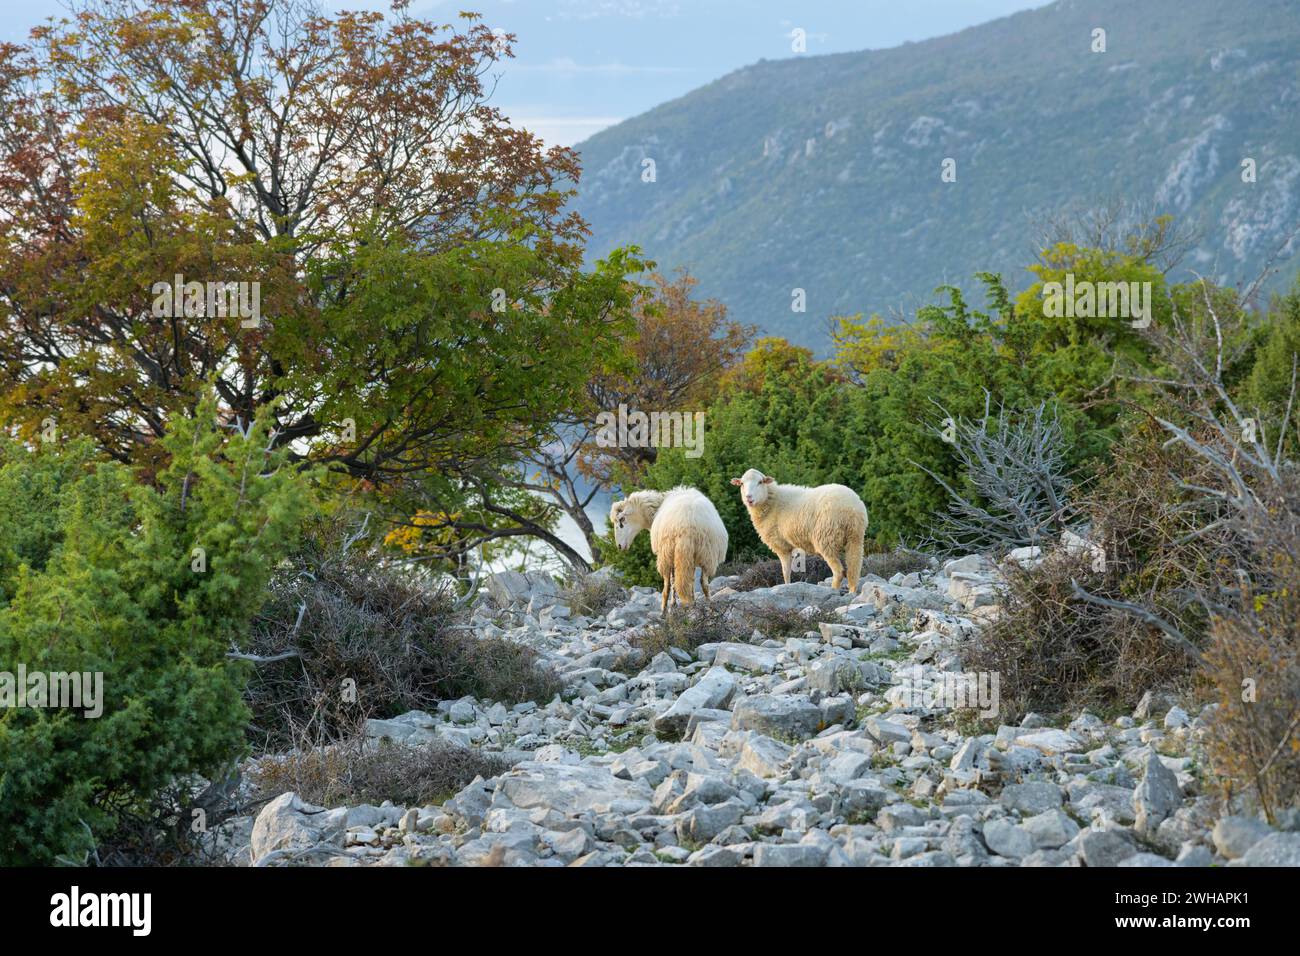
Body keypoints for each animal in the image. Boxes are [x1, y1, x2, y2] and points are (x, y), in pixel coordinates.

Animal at [730, 468, 868, 592]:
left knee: (839, 571)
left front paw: (786, 586)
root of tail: (851, 508)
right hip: (855, 538)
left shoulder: (781, 545)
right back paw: (852, 592)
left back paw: (833, 590)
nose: (749, 497)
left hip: (826, 538)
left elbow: (785, 571)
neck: (772, 502)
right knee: (854, 569)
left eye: (760, 482)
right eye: (742, 483)